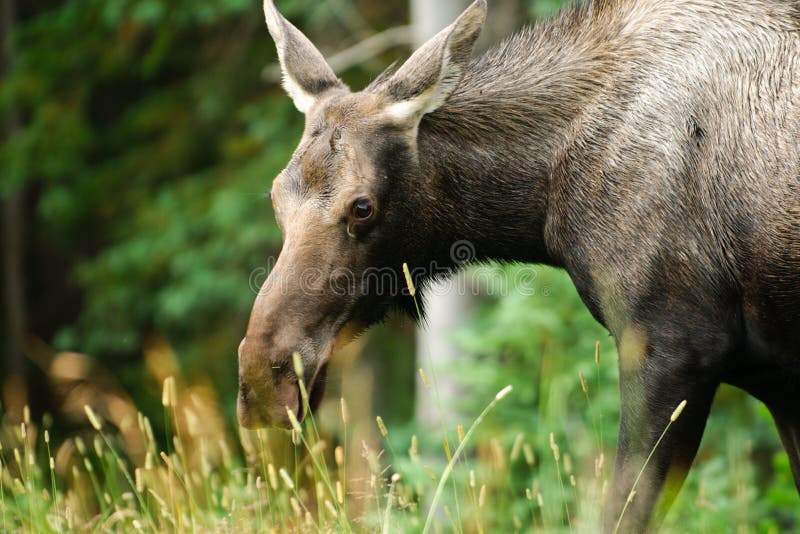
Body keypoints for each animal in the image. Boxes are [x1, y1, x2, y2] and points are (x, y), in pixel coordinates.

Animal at [237, 0, 800, 529]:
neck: (541, 205)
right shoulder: (774, 379)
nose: (263, 379)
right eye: (274, 196)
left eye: (362, 207)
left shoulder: (675, 347)